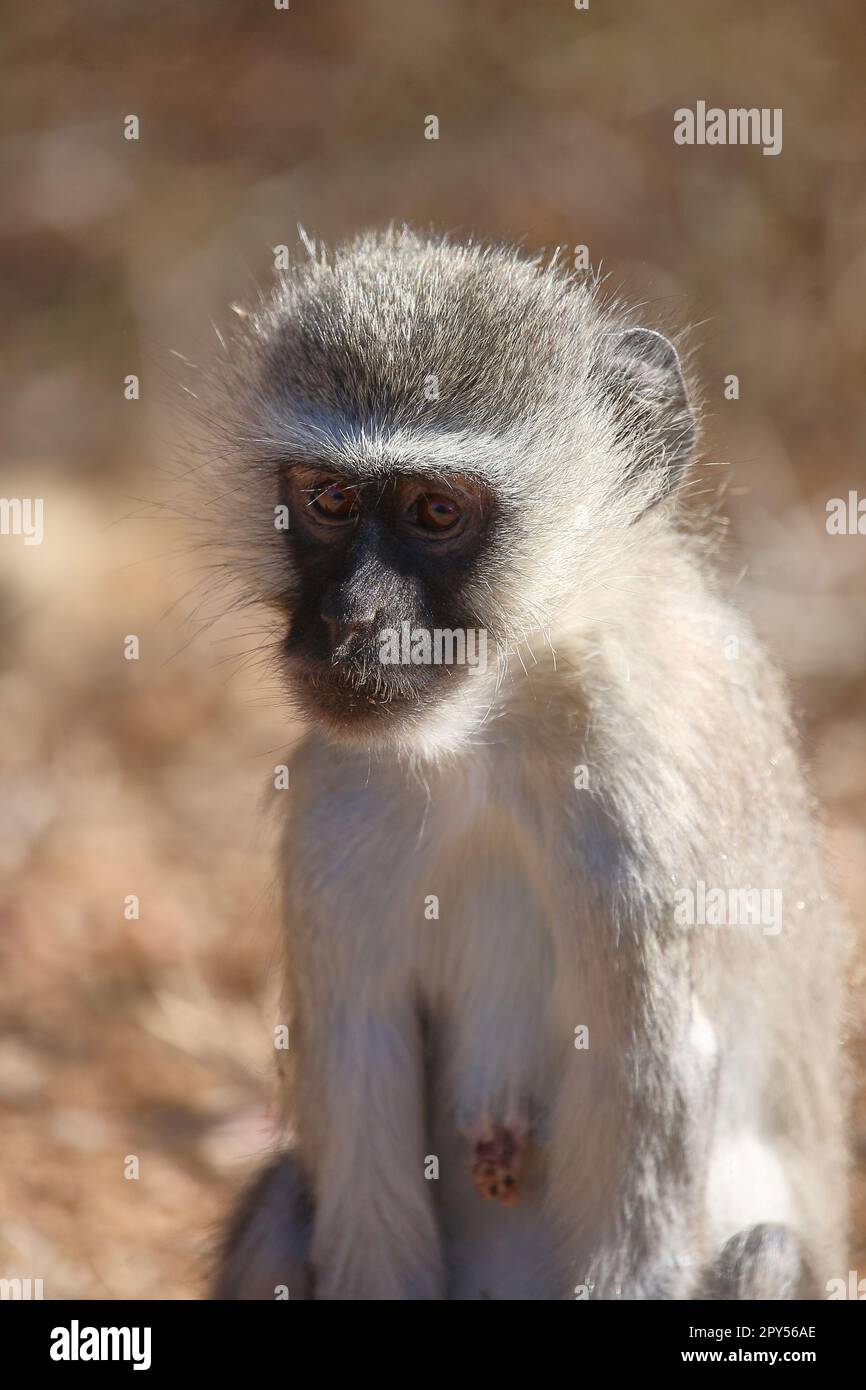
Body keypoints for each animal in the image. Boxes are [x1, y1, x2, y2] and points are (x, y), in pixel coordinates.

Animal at [203, 227, 848, 1300]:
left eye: (434, 511)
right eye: (329, 499)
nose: (351, 620)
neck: (489, 732)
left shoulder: (638, 795)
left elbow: (650, 1068)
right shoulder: (336, 797)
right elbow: (359, 1061)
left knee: (767, 1251)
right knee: (287, 1199)